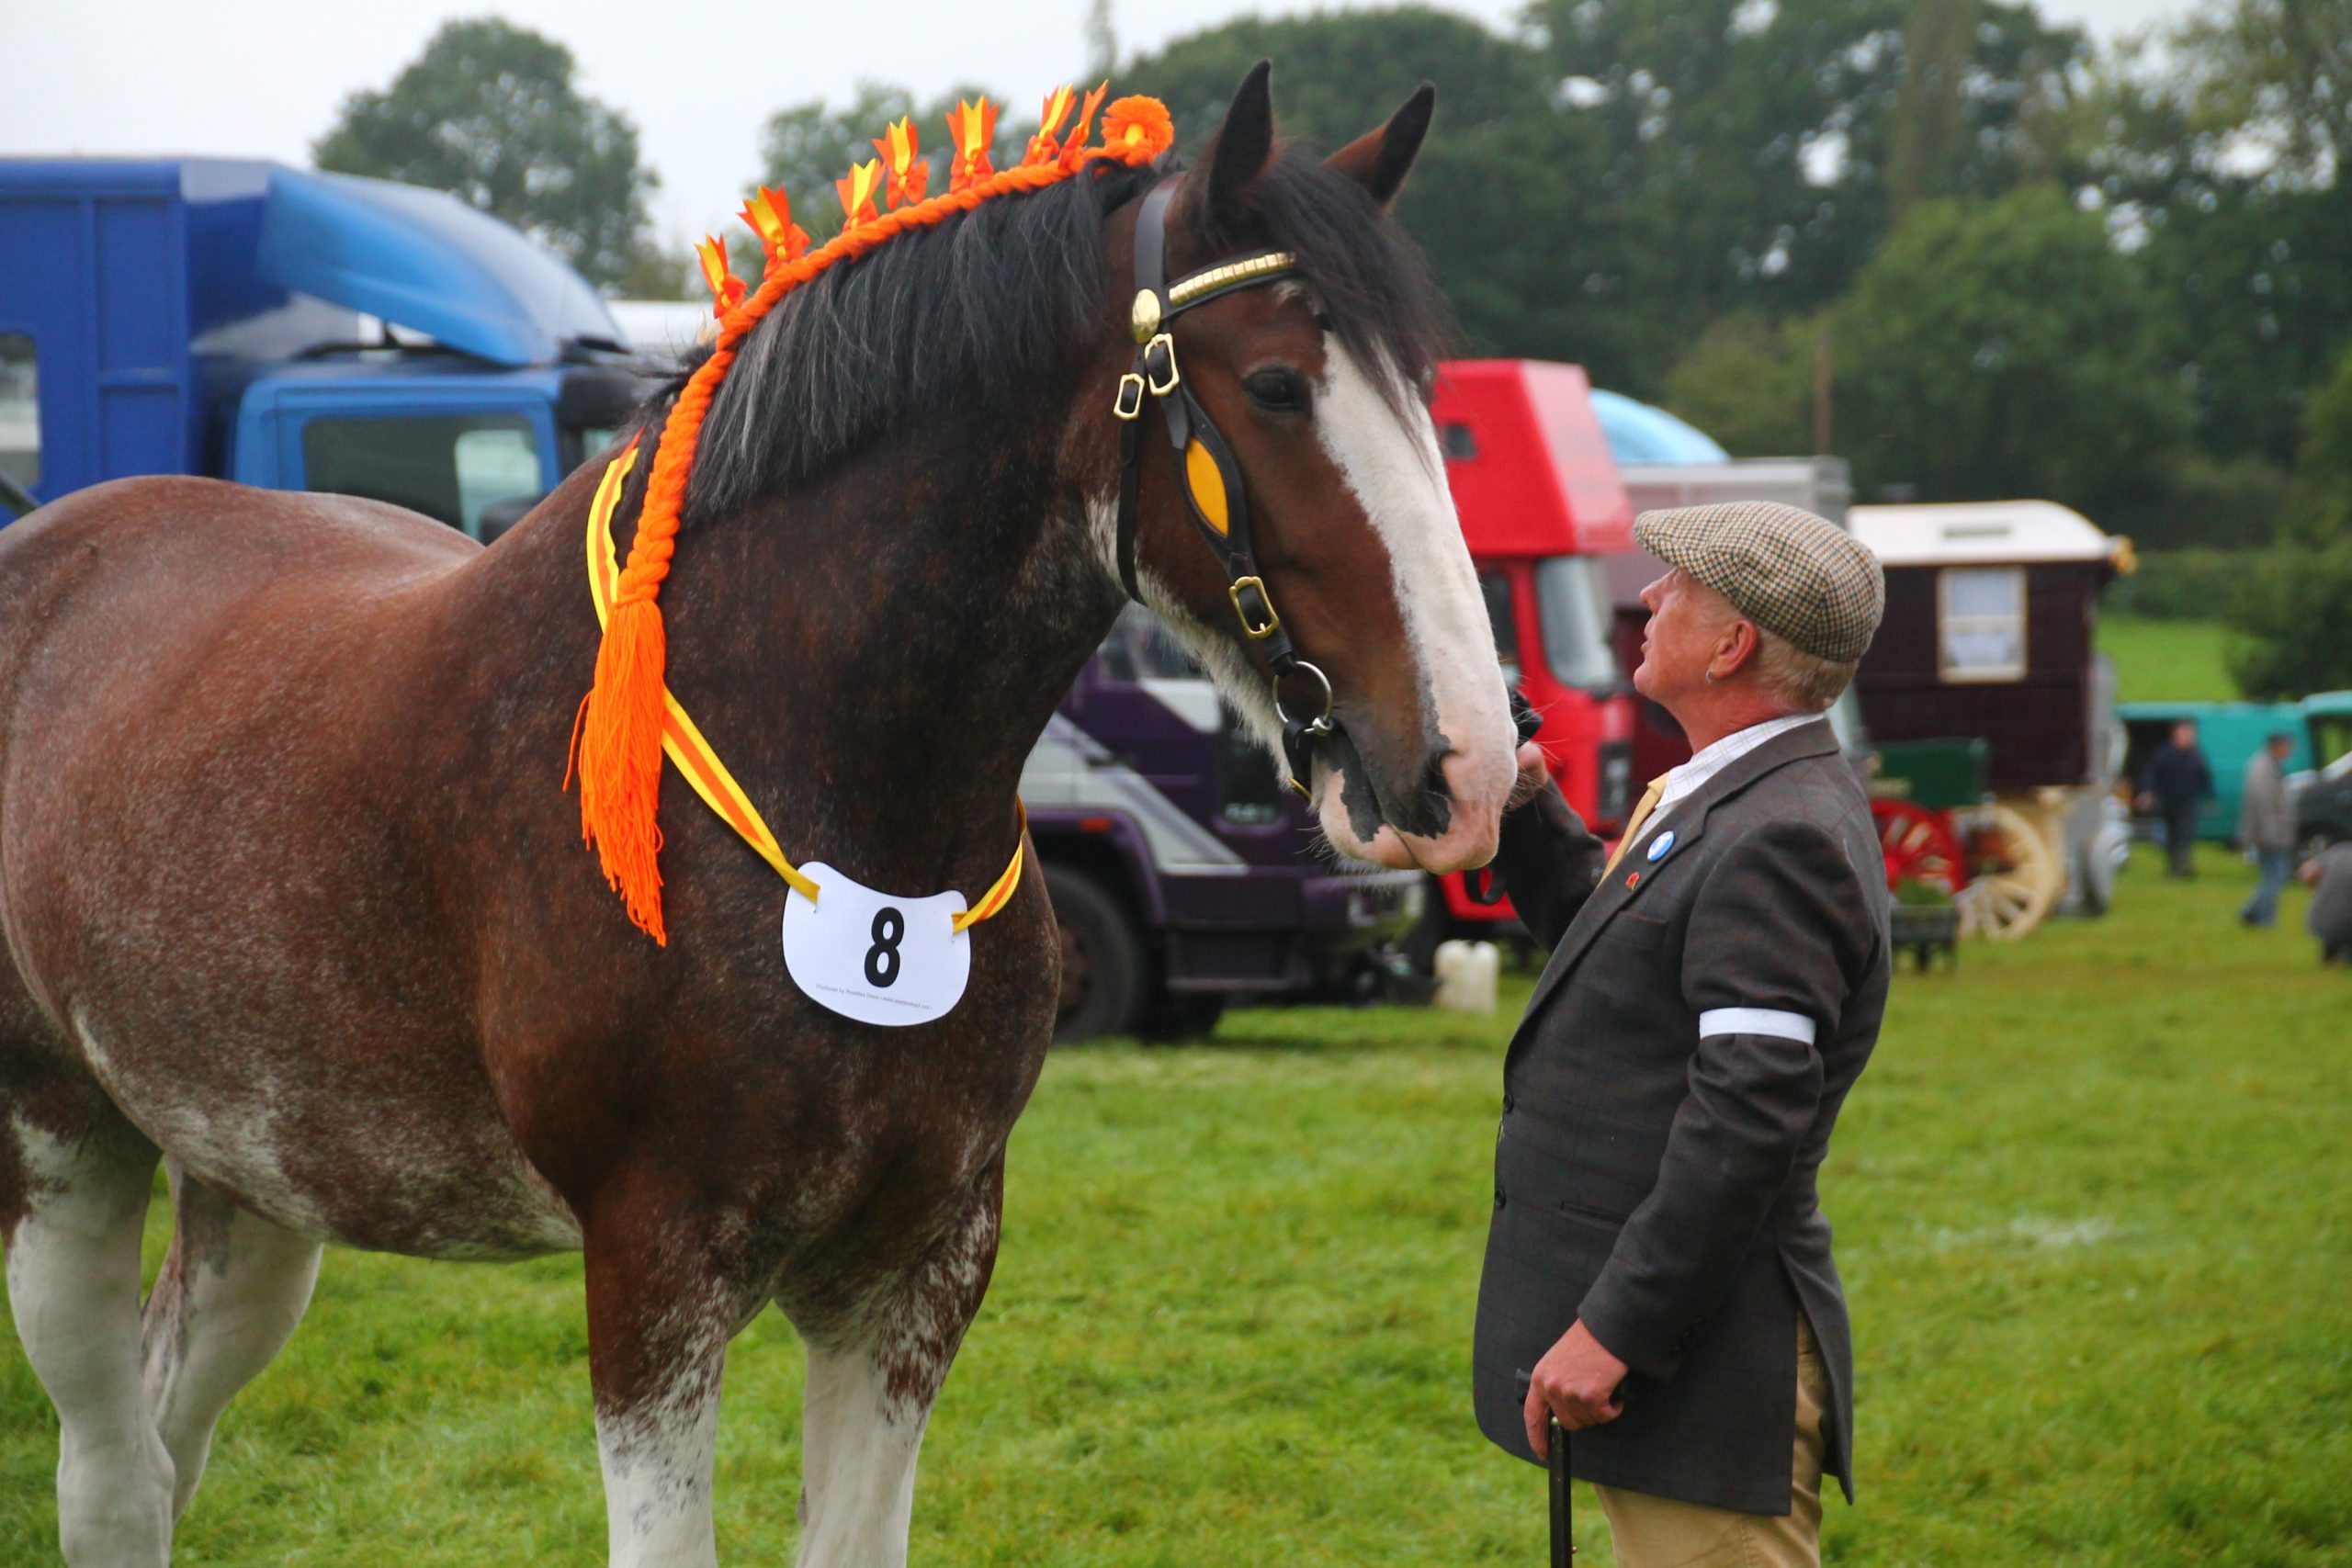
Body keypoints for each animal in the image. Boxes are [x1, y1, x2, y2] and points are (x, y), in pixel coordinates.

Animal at [0, 65, 1514, 1566]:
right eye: (1273, 384)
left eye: (1424, 389)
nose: (1471, 766)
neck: (833, 782)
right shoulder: (656, 1268)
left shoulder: (916, 1265)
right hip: (66, 1144)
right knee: (111, 1477)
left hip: (252, 1179)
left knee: (166, 1444)